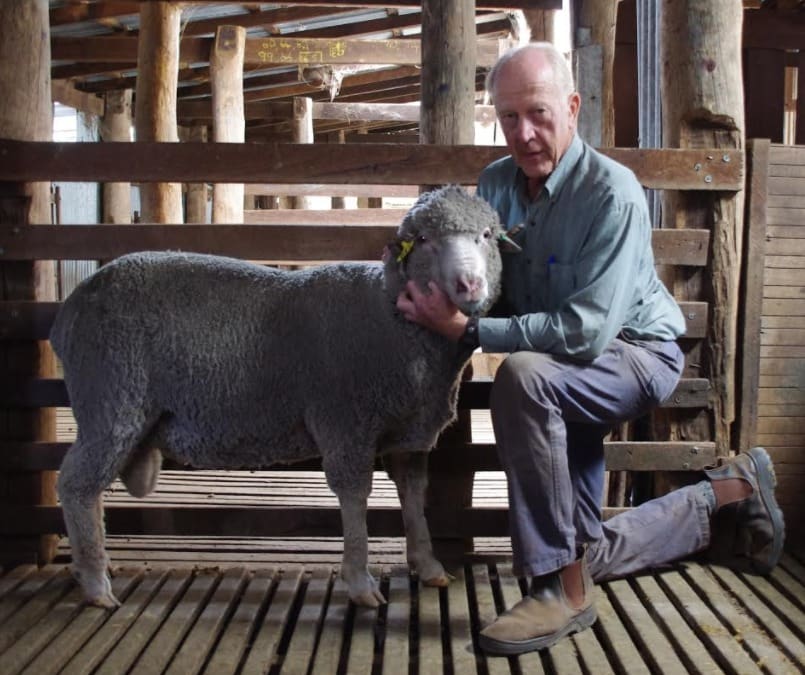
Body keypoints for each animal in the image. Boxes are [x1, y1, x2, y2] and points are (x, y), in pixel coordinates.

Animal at [50, 184, 504, 609]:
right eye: (424, 239)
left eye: (486, 234)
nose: (469, 284)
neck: (390, 313)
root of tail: (72, 305)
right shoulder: (345, 423)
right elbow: (354, 497)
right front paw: (360, 582)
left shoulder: (408, 435)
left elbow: (412, 497)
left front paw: (427, 565)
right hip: (111, 398)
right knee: (76, 484)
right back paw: (96, 584)